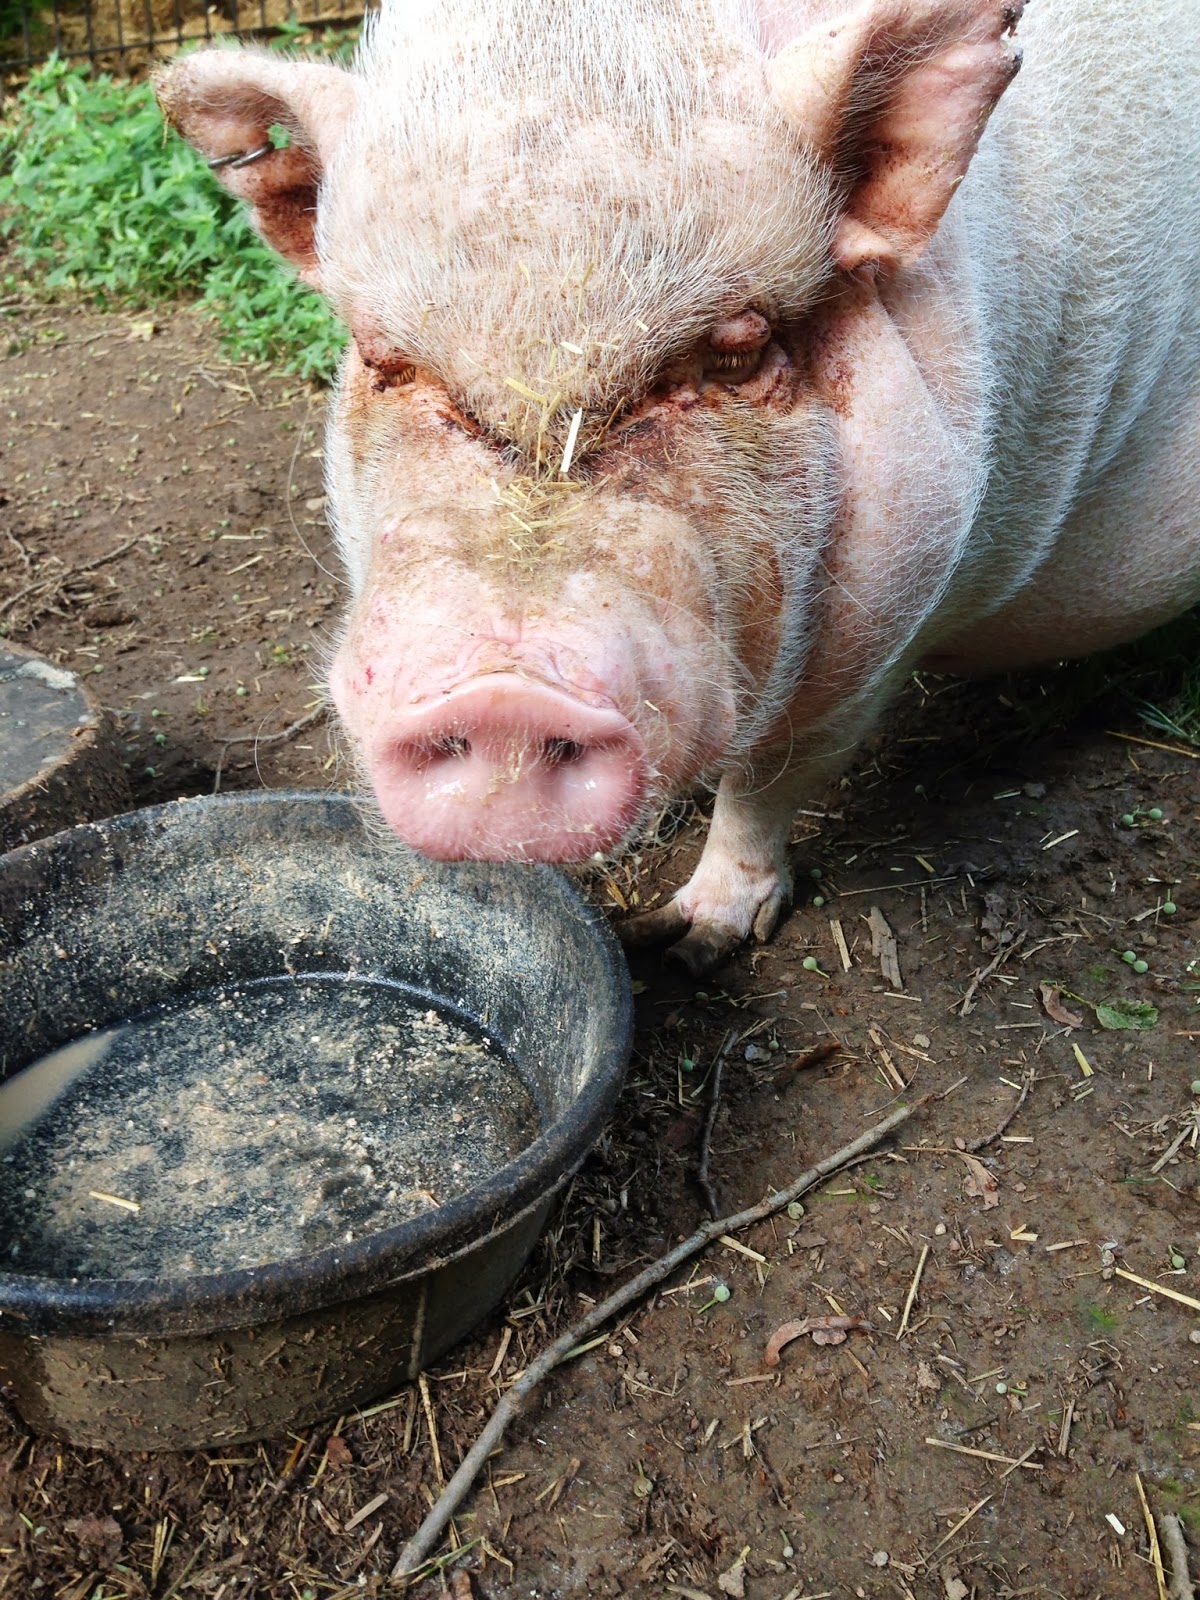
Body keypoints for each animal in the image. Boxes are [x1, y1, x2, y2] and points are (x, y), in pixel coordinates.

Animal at [157, 0, 1200, 972]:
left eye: (737, 352)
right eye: (384, 358)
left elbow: (769, 782)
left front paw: (690, 942)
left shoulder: (892, 618)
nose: (504, 696)